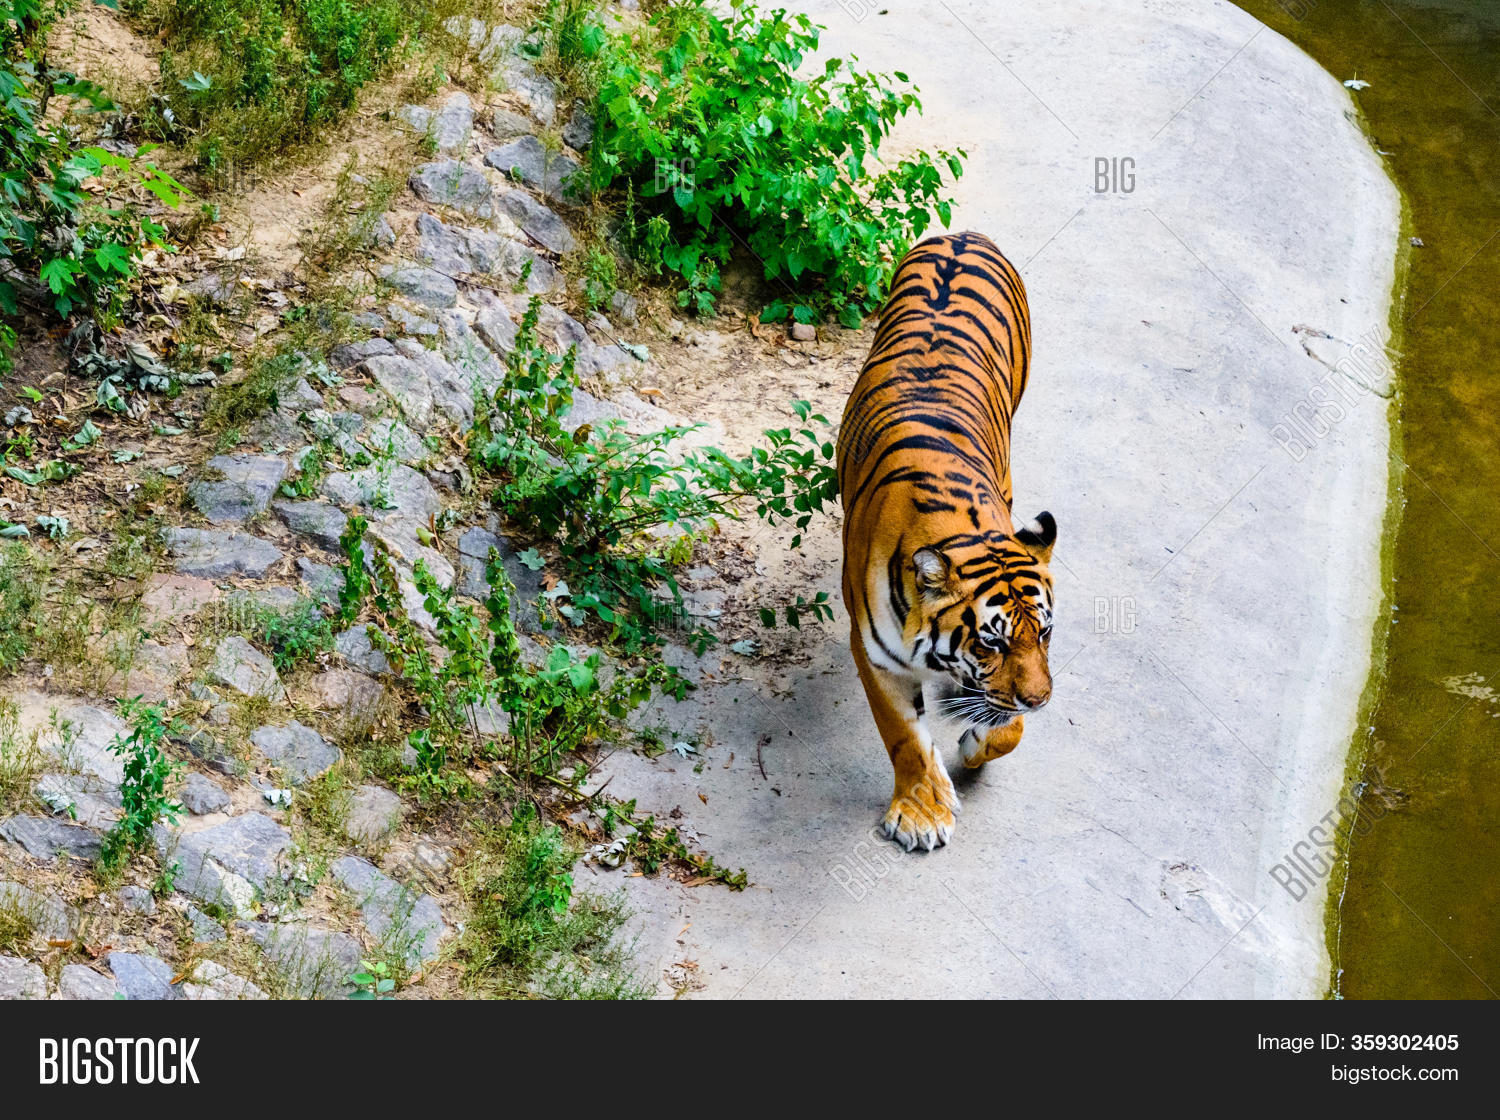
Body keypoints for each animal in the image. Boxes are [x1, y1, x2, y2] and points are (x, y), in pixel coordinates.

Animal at [836, 231, 1056, 852]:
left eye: (1044, 634)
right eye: (990, 643)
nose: (1041, 700)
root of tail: (966, 234)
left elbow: (1007, 728)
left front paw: (978, 741)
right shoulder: (876, 653)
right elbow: (904, 734)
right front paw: (922, 812)